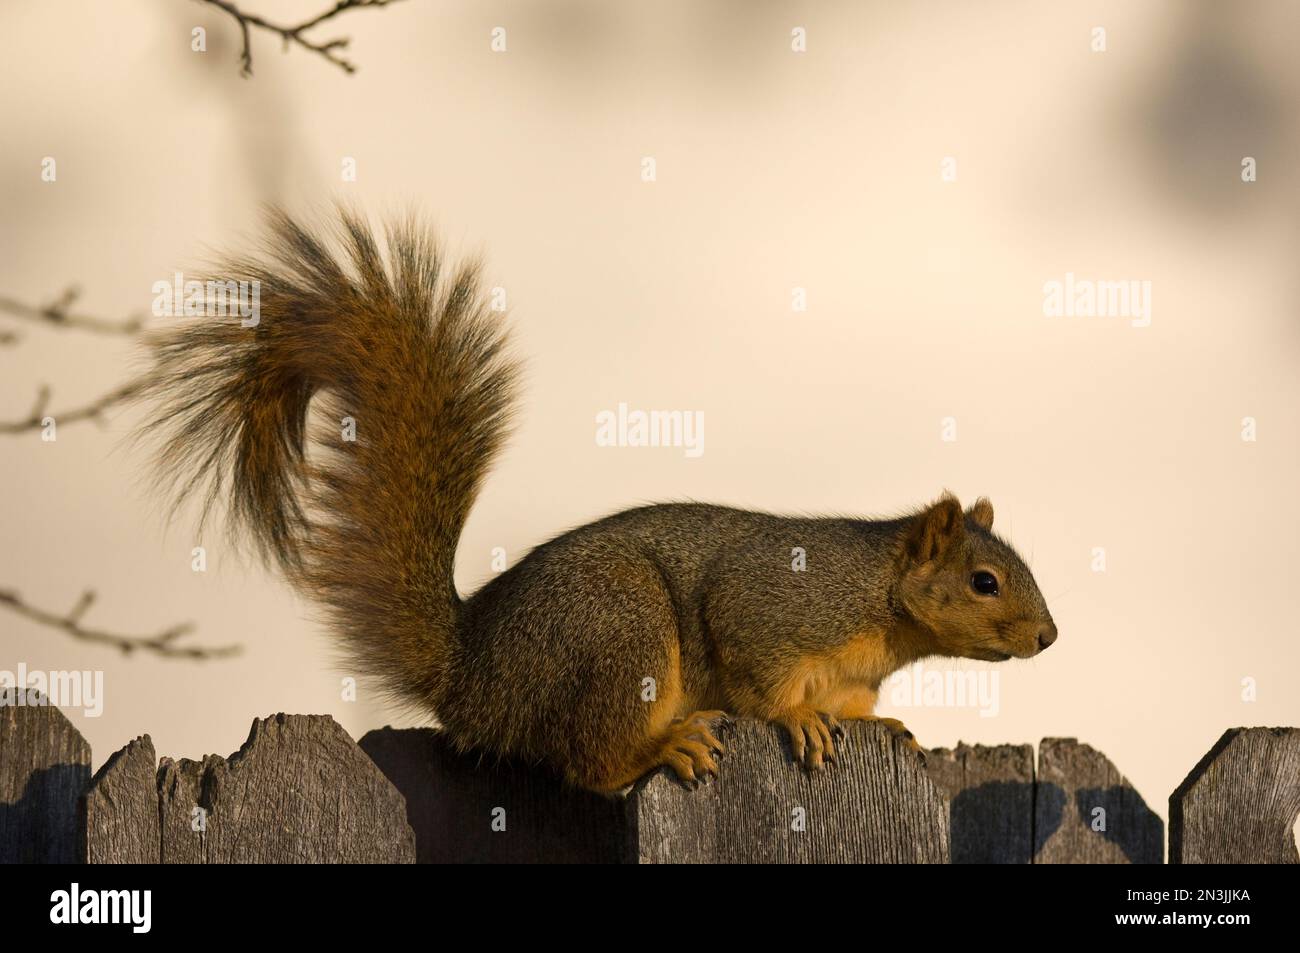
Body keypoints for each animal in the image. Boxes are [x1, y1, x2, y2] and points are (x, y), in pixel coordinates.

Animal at [132, 207, 1058, 794]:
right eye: (983, 581)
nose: (1048, 637)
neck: (878, 605)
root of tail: (473, 675)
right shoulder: (774, 606)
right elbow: (759, 675)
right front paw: (797, 721)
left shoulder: (855, 674)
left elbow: (858, 709)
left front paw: (883, 728)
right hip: (618, 628)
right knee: (588, 762)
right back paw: (662, 748)